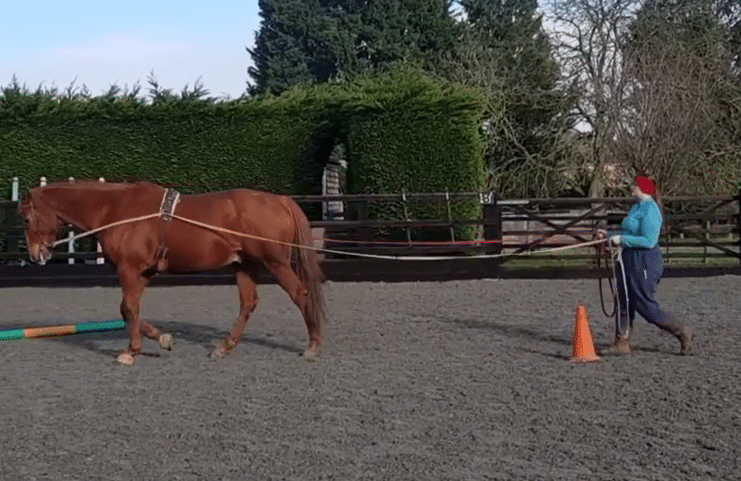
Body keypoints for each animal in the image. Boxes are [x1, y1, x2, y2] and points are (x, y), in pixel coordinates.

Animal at [19, 181, 326, 366]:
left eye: (26, 218)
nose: (35, 254)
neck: (117, 210)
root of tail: (281, 201)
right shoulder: (142, 273)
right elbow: (129, 310)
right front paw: (161, 339)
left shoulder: (130, 270)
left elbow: (128, 309)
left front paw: (132, 351)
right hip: (245, 265)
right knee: (248, 304)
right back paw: (224, 346)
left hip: (275, 263)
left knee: (300, 294)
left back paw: (313, 345)